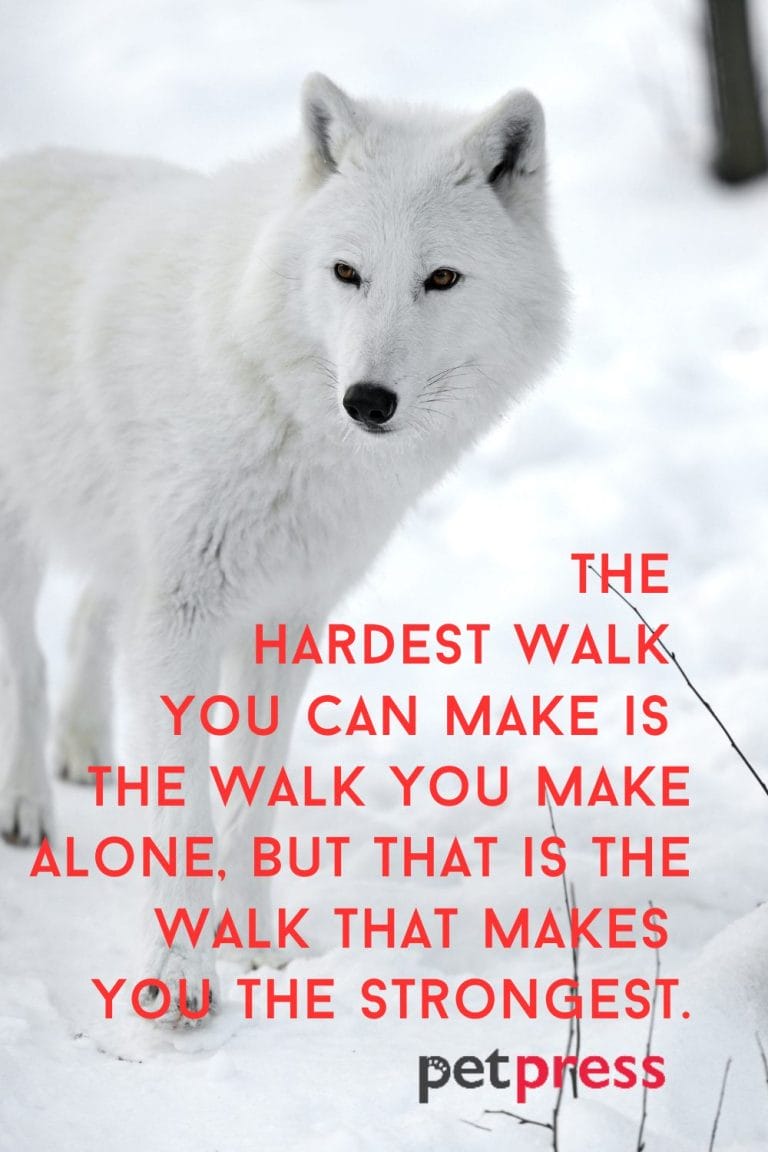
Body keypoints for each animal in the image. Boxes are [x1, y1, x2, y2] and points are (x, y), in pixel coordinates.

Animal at [0, 74, 565, 1017]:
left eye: (442, 279)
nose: (367, 401)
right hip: (20, 544)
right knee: (27, 669)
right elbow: (186, 812)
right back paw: (27, 805)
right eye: (346, 272)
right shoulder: (183, 615)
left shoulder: (283, 620)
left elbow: (252, 804)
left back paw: (83, 750)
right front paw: (178, 981)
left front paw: (257, 949)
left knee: (87, 622)